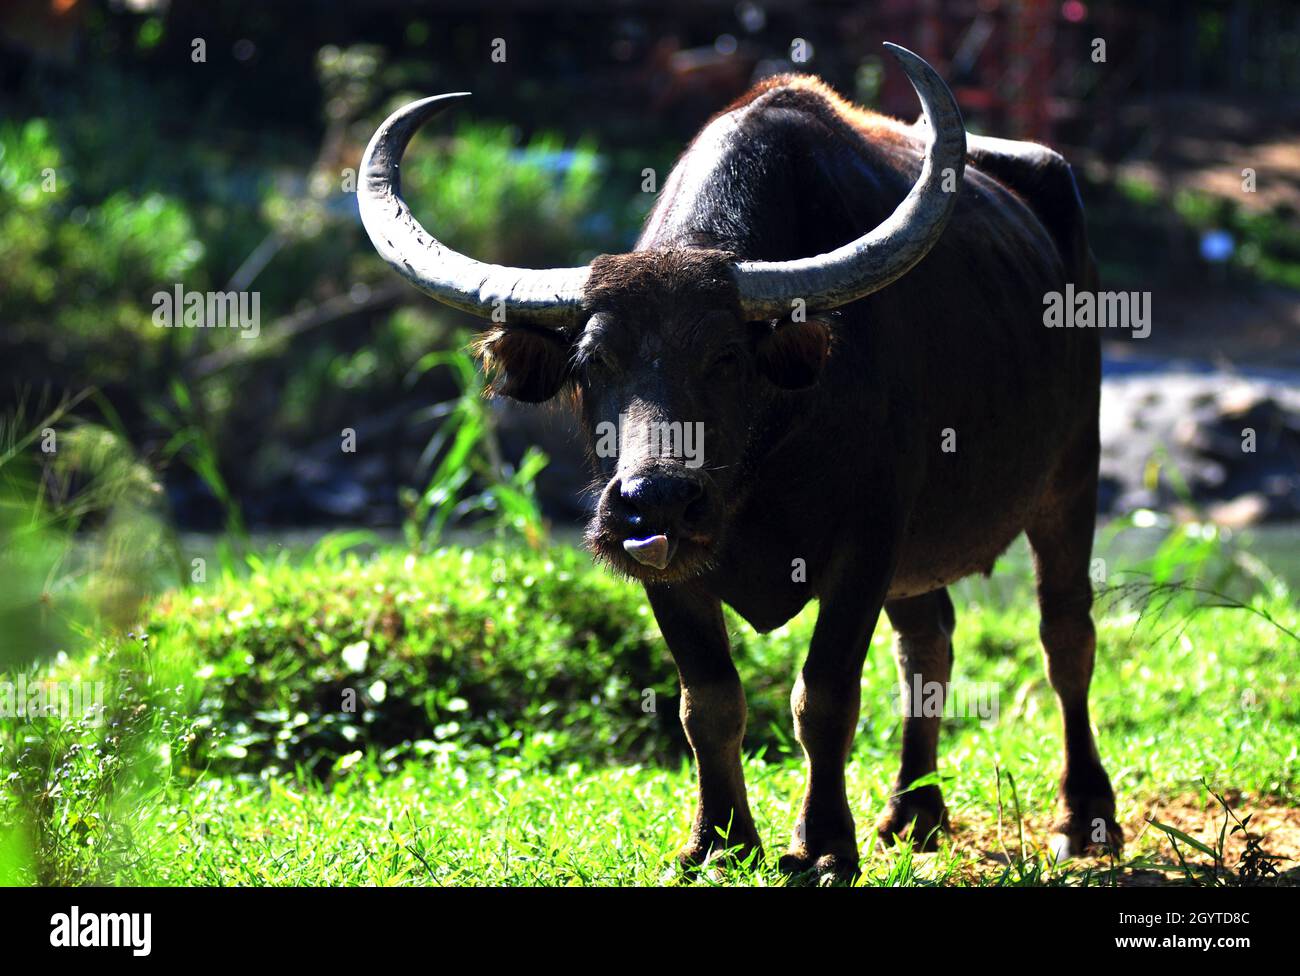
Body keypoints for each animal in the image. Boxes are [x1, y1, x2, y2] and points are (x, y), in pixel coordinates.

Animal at [359, 43, 1120, 881]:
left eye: (725, 358)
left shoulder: (868, 539)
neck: (756, 475)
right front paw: (719, 840)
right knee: (928, 641)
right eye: (594, 362)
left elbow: (823, 697)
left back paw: (1084, 815)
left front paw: (824, 845)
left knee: (1065, 636)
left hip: (1071, 475)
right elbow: (710, 702)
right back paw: (912, 813)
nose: (655, 500)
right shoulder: (668, 569)